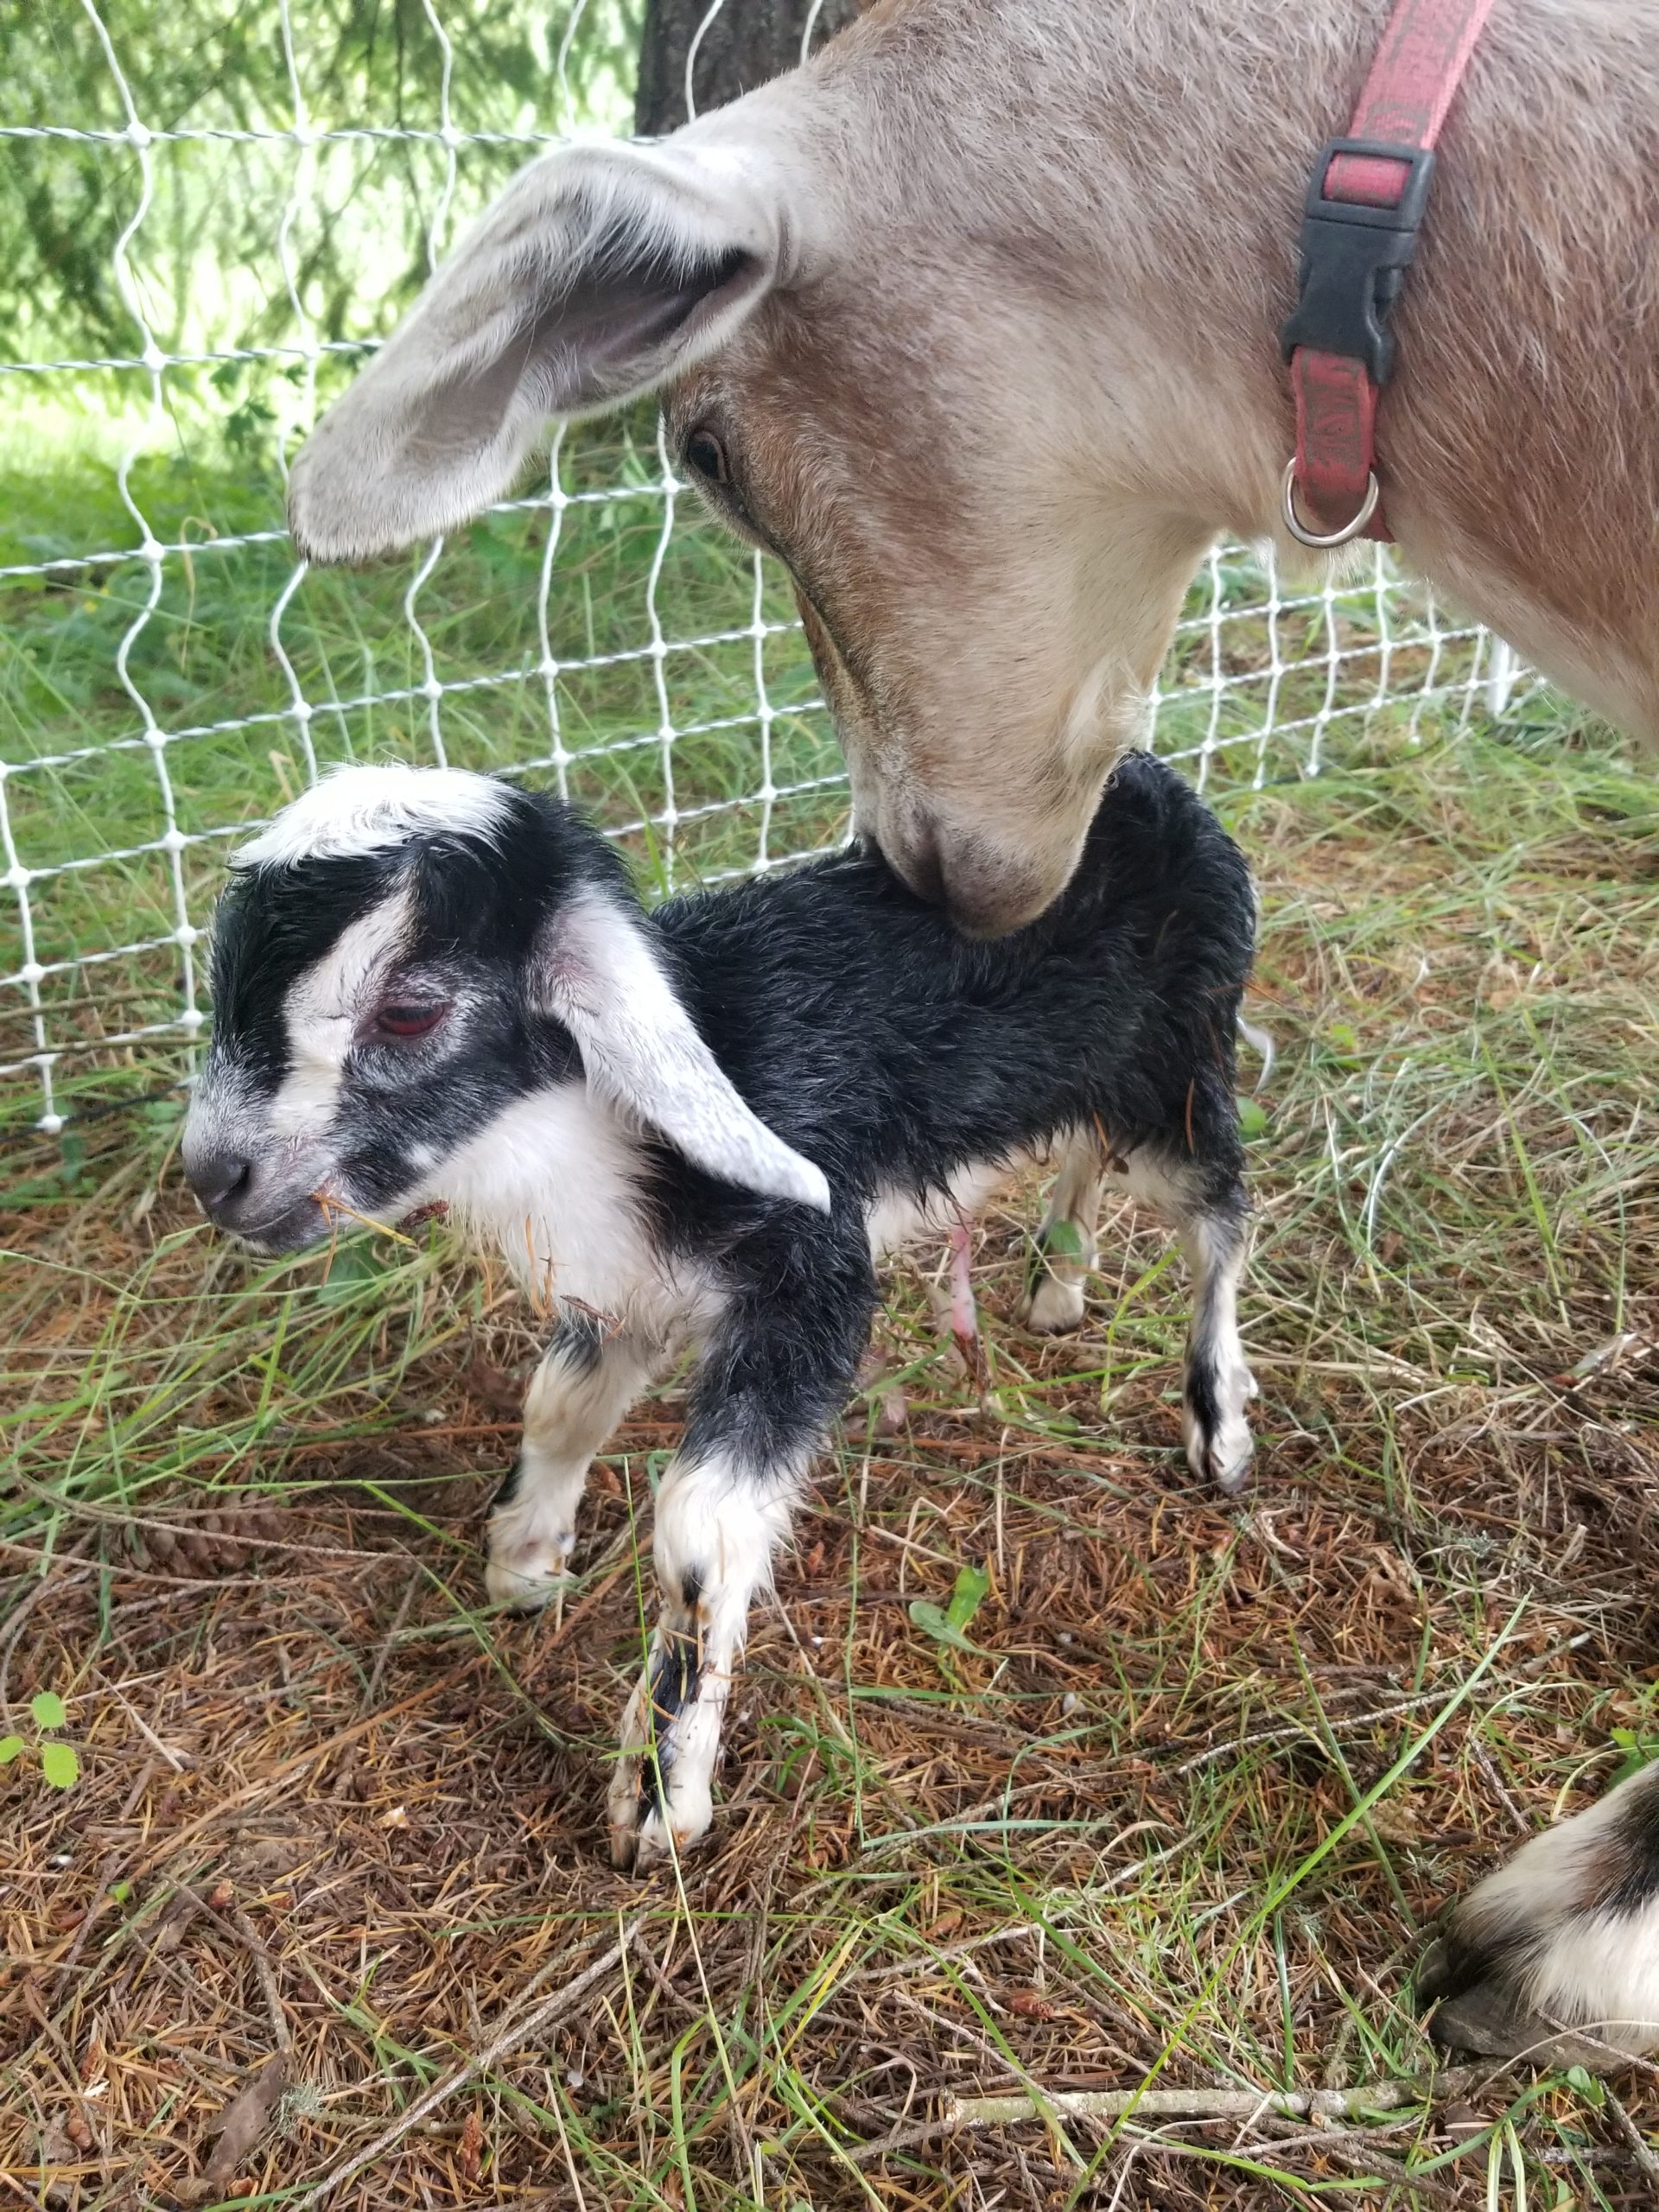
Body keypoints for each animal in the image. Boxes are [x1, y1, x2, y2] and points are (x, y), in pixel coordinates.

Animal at [181, 752, 1255, 1869]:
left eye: (407, 1013)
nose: (216, 1178)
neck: (612, 1129)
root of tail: (1144, 776)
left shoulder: (811, 1284)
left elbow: (701, 1532)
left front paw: (659, 1795)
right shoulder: (625, 1297)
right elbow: (558, 1408)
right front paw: (524, 1559)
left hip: (1180, 1062)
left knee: (1222, 1217)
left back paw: (1218, 1425)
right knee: (1089, 1150)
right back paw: (1056, 1286)